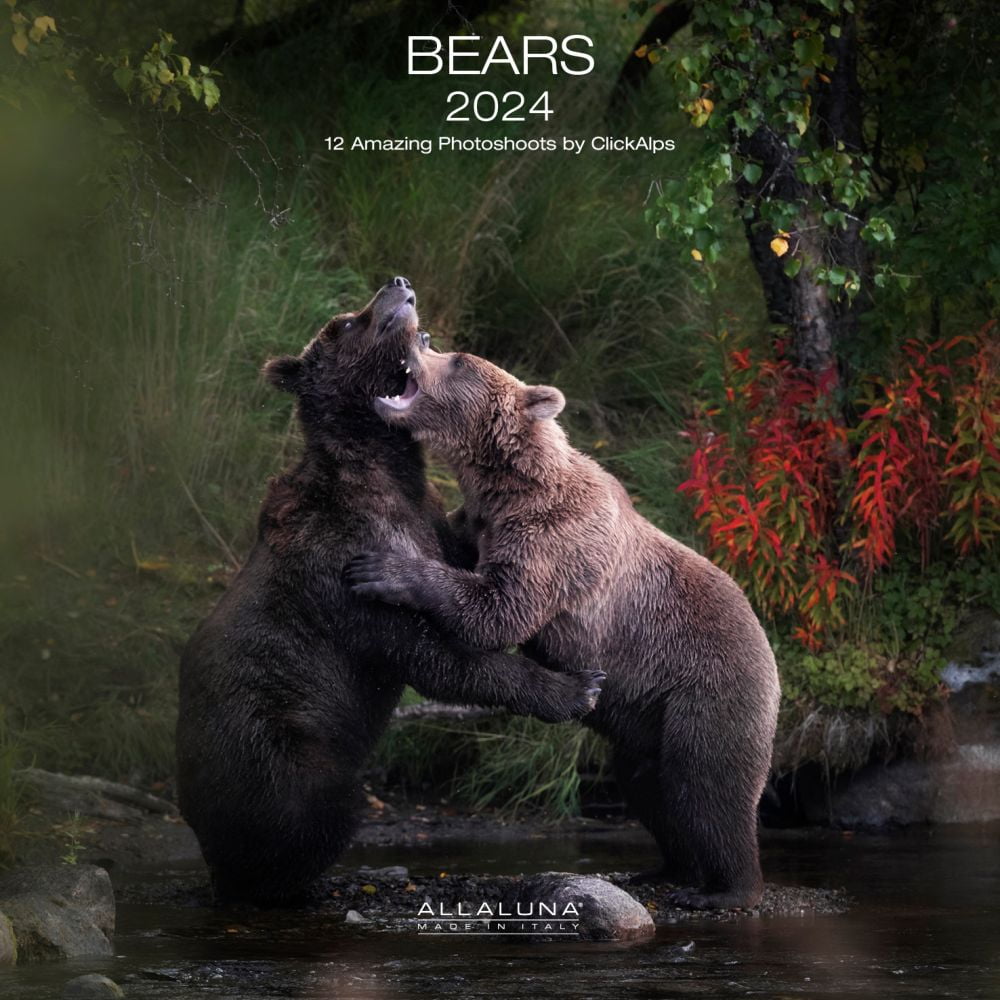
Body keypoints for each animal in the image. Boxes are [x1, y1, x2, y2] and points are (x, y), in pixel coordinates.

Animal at [176, 279, 603, 905]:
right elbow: (435, 653)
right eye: (344, 323)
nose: (396, 285)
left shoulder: (424, 517)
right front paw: (574, 688)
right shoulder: (344, 566)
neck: (383, 469)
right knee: (309, 813)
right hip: (279, 746)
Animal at [347, 342, 781, 909]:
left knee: (709, 784)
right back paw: (666, 870)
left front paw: (384, 569)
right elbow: (463, 556)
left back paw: (726, 889)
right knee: (650, 788)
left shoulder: (554, 540)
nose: (422, 340)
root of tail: (771, 655)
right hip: (648, 715)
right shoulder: (484, 525)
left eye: (460, 359)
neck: (509, 486)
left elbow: (499, 611)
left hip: (708, 687)